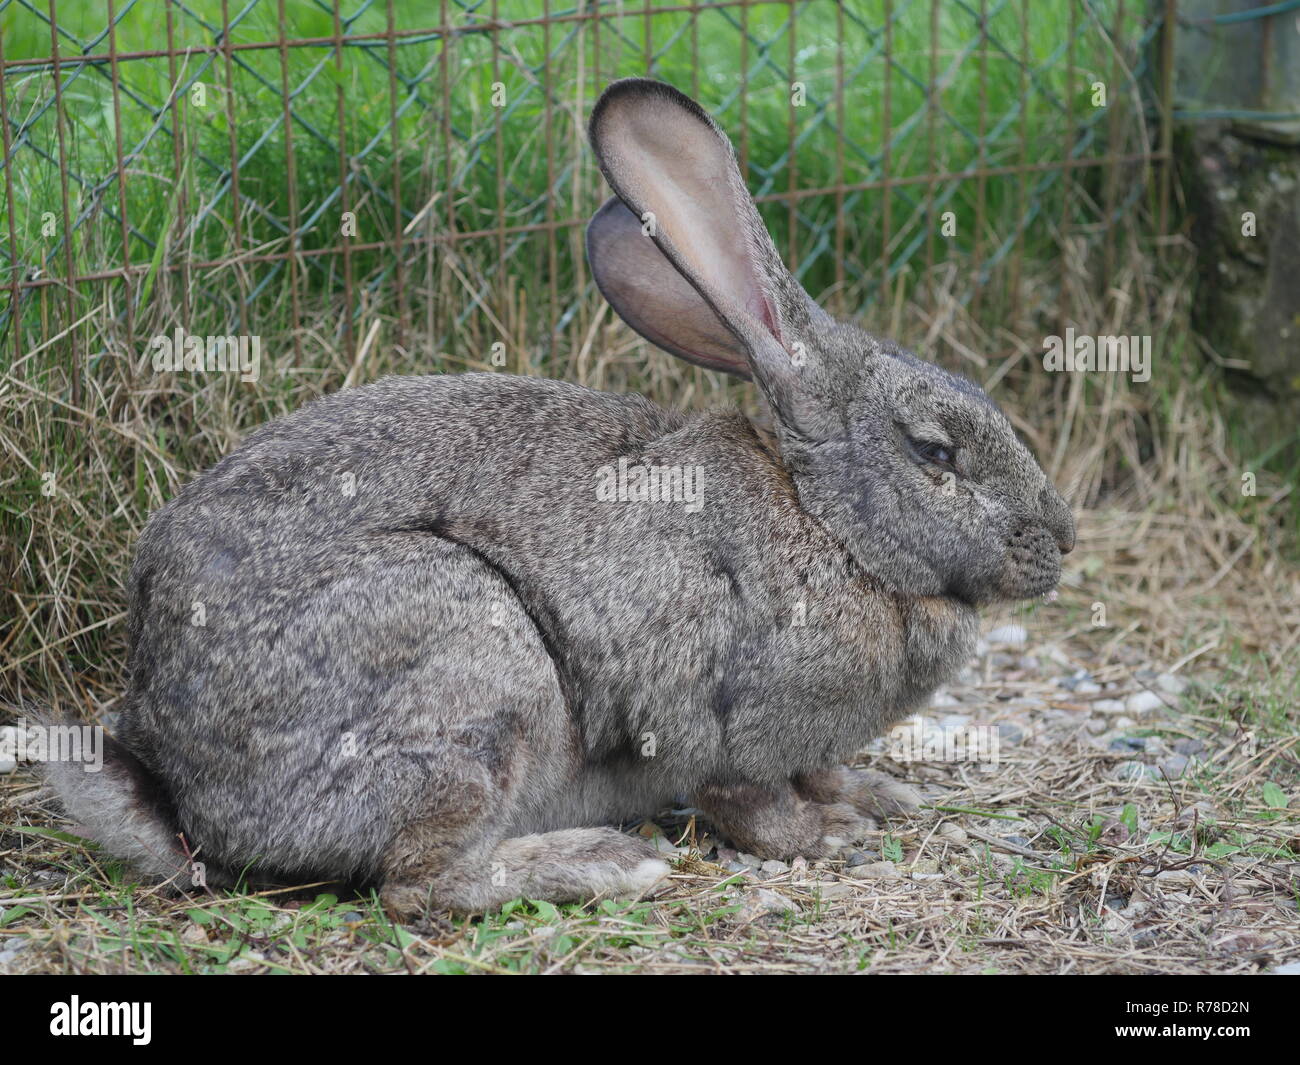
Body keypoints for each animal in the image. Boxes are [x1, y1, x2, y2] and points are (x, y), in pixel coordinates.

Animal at [44, 78, 1074, 916]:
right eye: (933, 450)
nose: (1059, 538)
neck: (829, 523)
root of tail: (181, 792)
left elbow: (820, 769)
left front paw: (877, 797)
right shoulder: (722, 721)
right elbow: (751, 801)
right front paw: (826, 836)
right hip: (474, 666)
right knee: (419, 883)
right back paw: (599, 864)